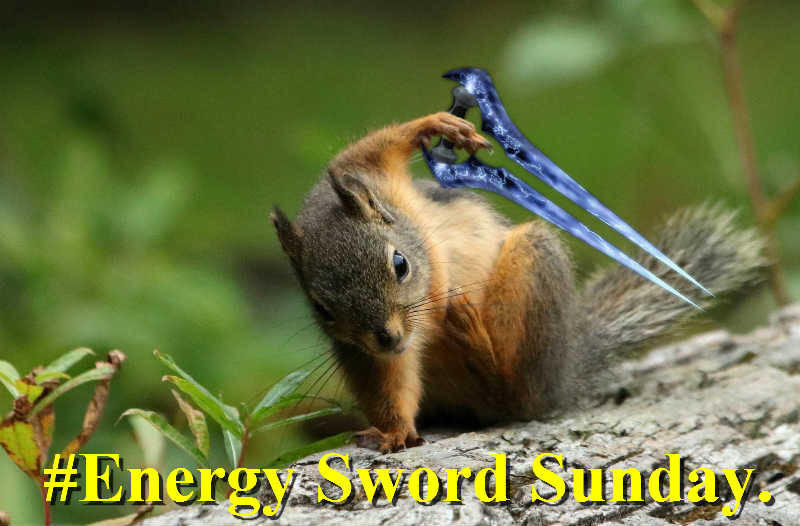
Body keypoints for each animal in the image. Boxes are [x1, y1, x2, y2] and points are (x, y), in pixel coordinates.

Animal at [270, 112, 766, 454]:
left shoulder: (366, 172)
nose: (389, 338)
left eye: (399, 263)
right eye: (322, 309)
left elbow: (372, 147)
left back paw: (475, 338)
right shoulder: (369, 354)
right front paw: (393, 431)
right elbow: (389, 384)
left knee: (515, 396)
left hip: (532, 264)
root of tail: (564, 369)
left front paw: (438, 125)